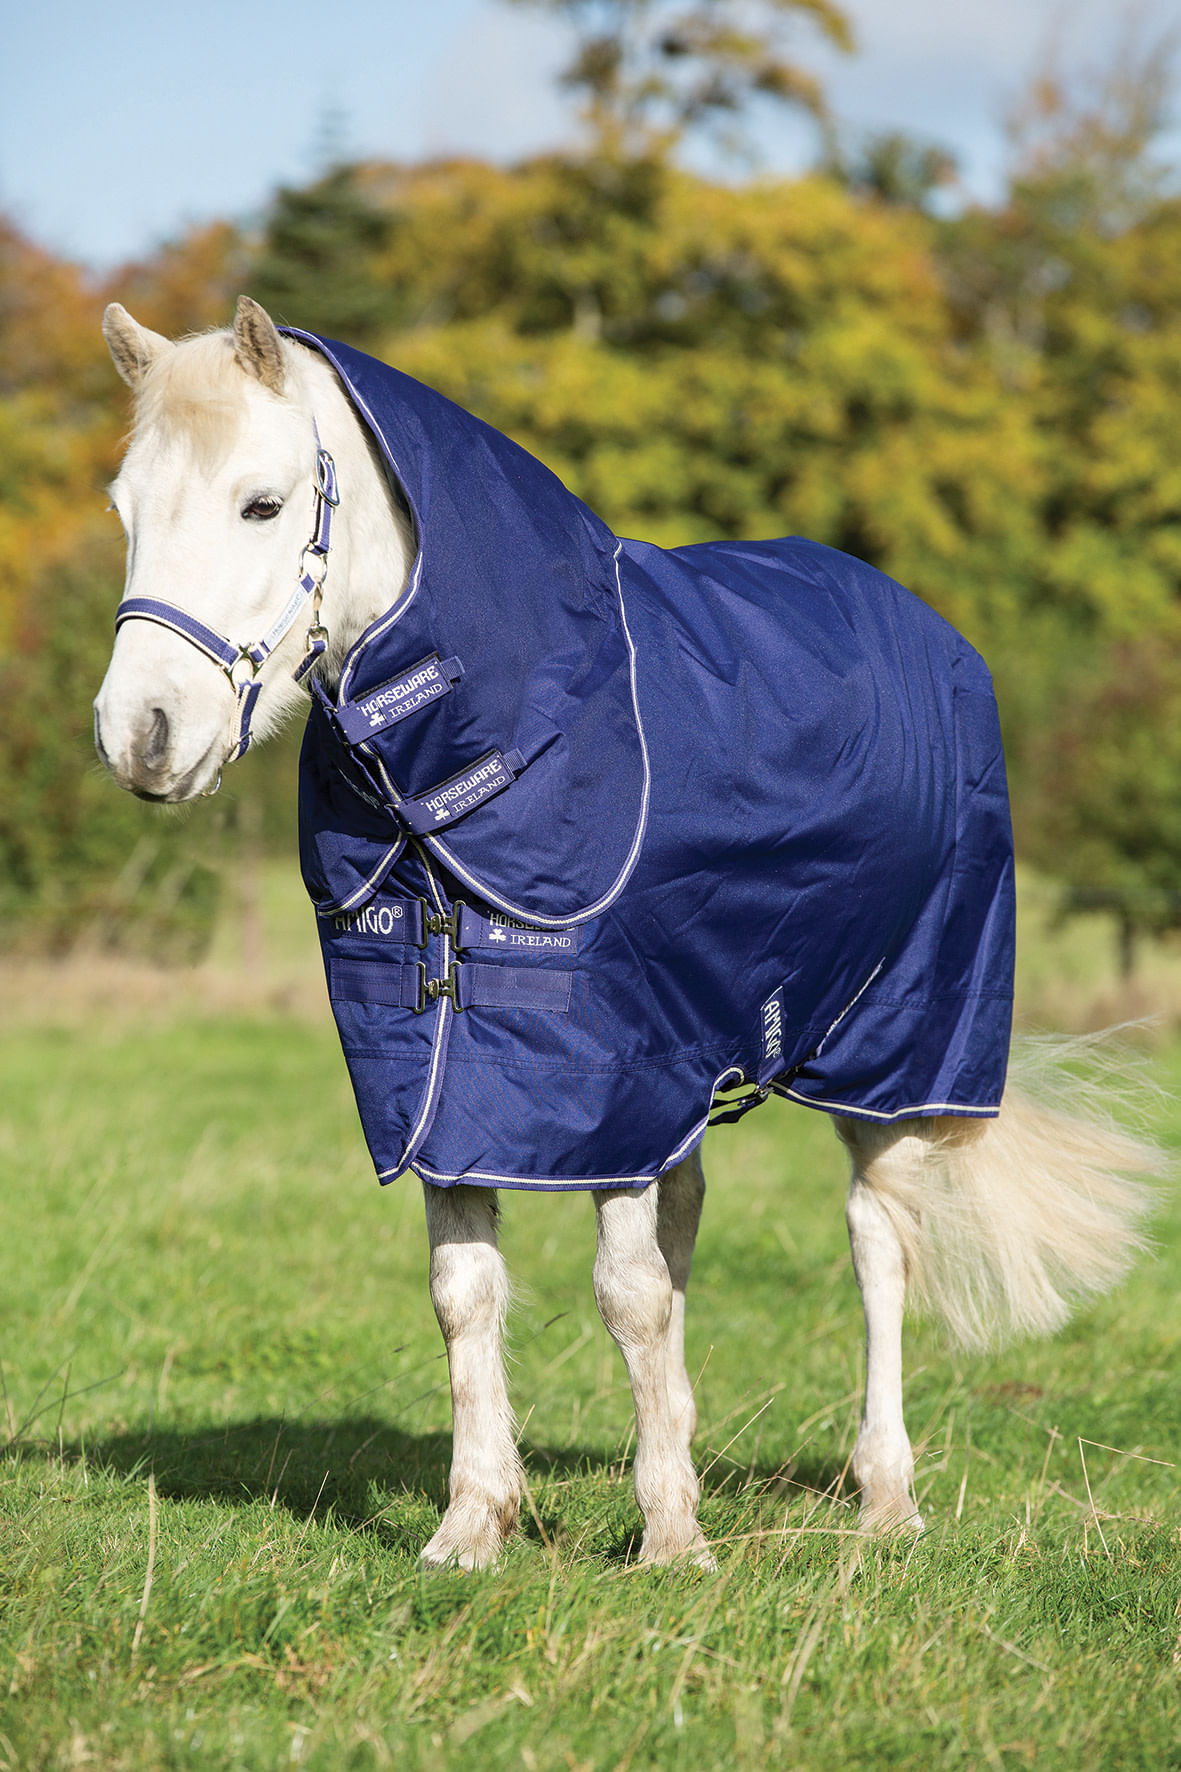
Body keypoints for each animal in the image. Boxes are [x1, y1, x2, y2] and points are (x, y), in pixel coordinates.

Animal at [94, 296, 1158, 1571]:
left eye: (261, 503)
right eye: (123, 507)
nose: (141, 735)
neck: (484, 753)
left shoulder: (608, 1082)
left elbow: (625, 1292)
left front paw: (670, 1541)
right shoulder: (451, 1084)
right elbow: (470, 1289)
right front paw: (474, 1523)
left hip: (894, 1049)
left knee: (876, 1241)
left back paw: (884, 1496)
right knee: (693, 1224)